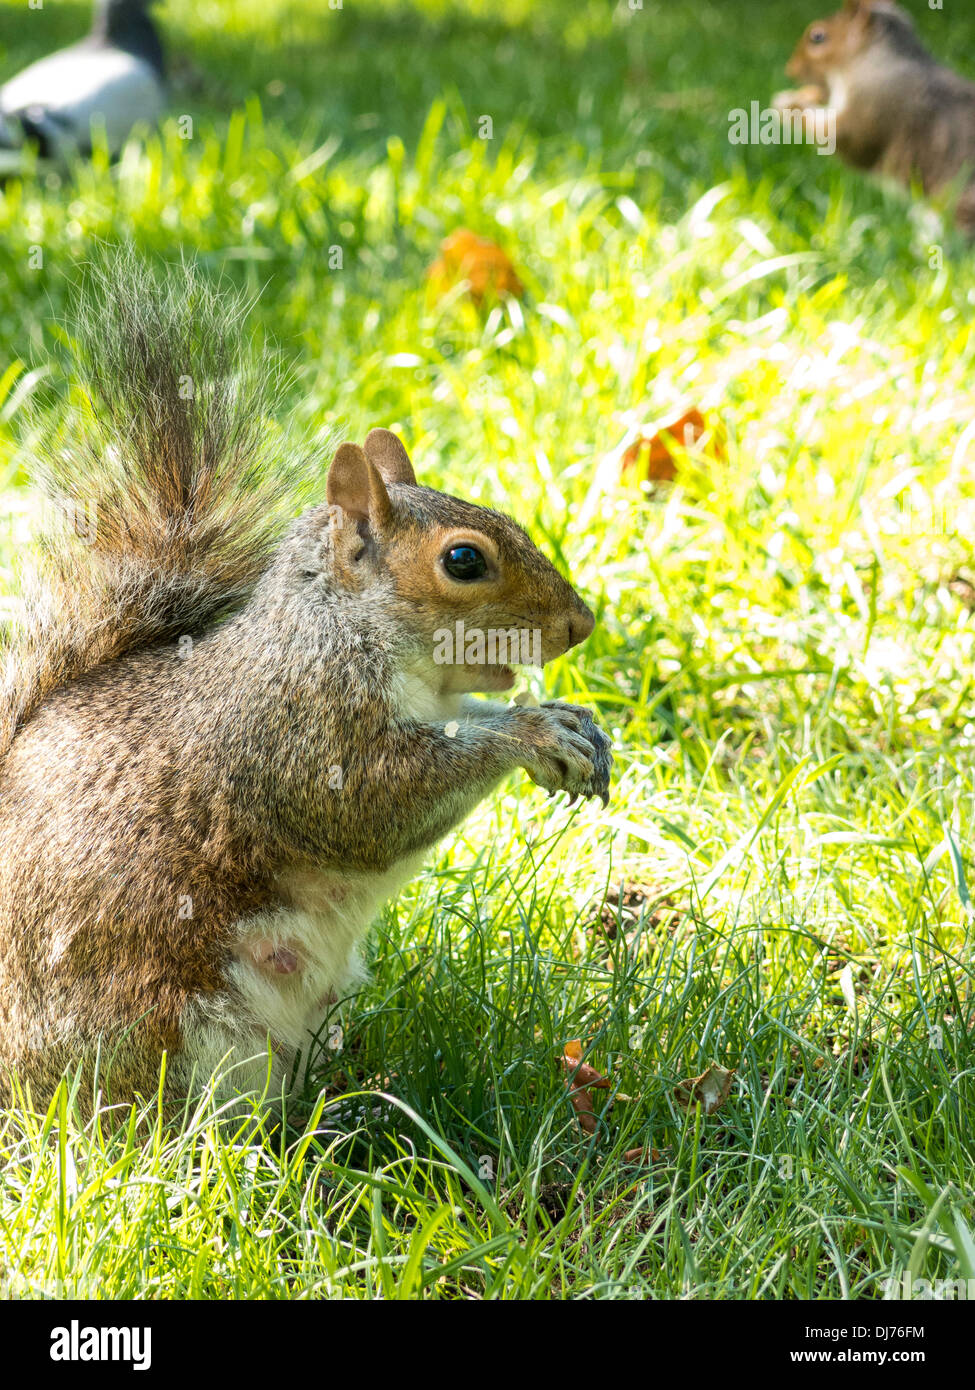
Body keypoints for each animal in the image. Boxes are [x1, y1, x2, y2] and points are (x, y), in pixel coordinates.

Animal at [0, 254, 612, 1110]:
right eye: (464, 560)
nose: (579, 624)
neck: (345, 633)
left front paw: (570, 722)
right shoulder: (303, 738)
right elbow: (379, 801)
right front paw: (528, 733)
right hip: (156, 1031)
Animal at [772, 0, 975, 237]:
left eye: (817, 36)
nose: (790, 69)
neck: (877, 60)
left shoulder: (873, 108)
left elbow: (846, 138)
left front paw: (790, 105)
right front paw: (804, 95)